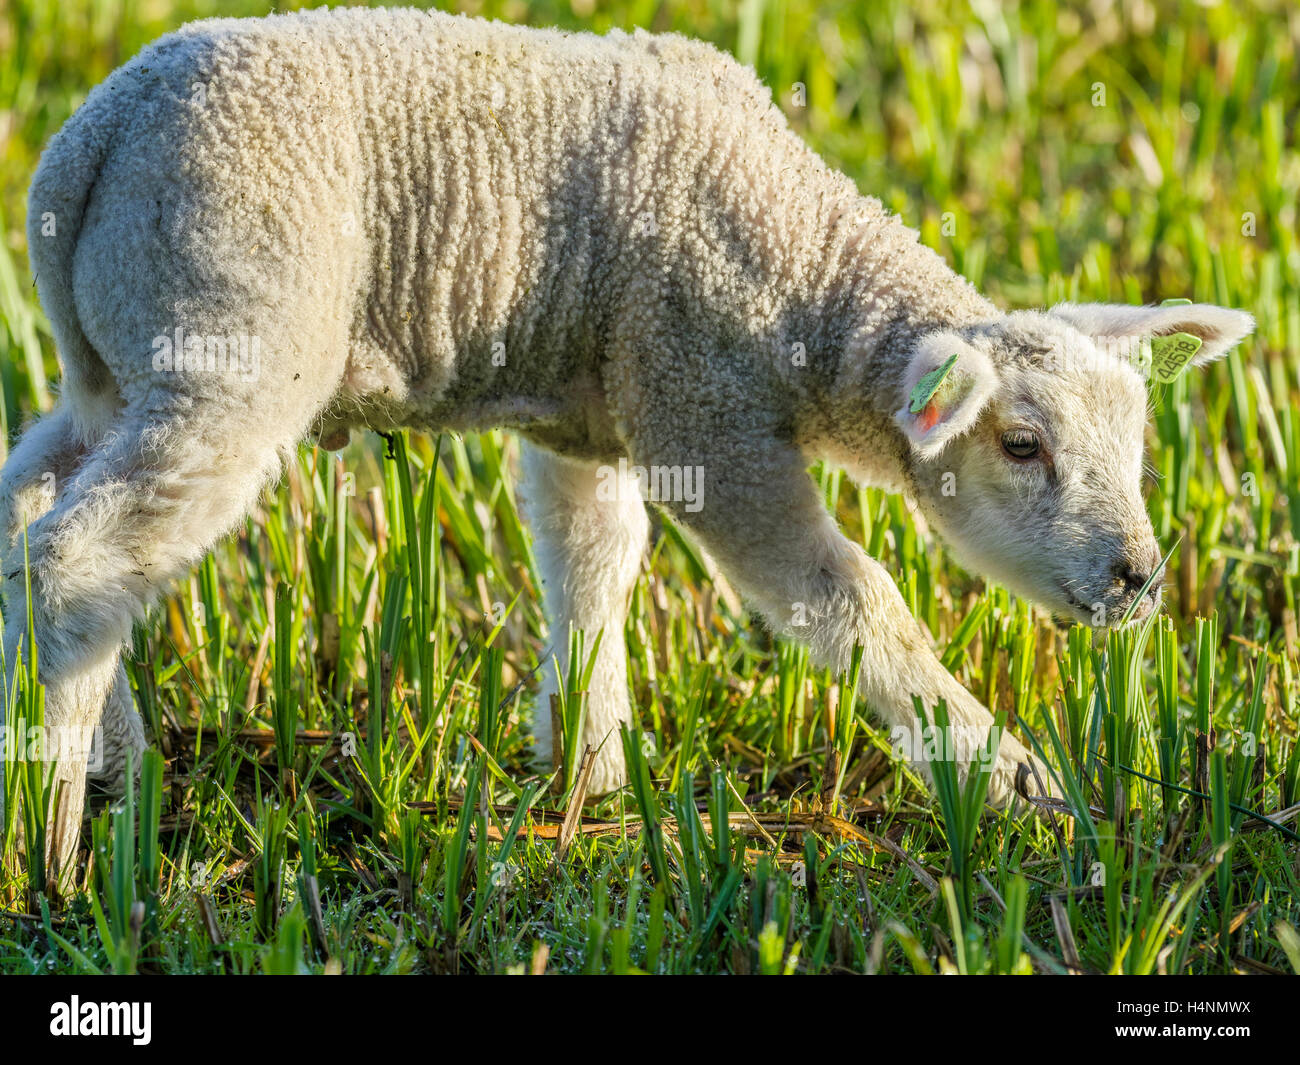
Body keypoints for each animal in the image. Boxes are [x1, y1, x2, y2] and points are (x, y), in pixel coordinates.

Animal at [4, 6, 1253, 882]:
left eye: (1136, 444)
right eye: (1023, 446)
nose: (1138, 578)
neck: (811, 273)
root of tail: (90, 143)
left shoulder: (589, 417)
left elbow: (591, 562)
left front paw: (587, 778)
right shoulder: (705, 412)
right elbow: (849, 602)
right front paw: (1013, 781)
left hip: (109, 363)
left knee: (35, 509)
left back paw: (109, 765)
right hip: (233, 333)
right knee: (81, 560)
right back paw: (53, 847)